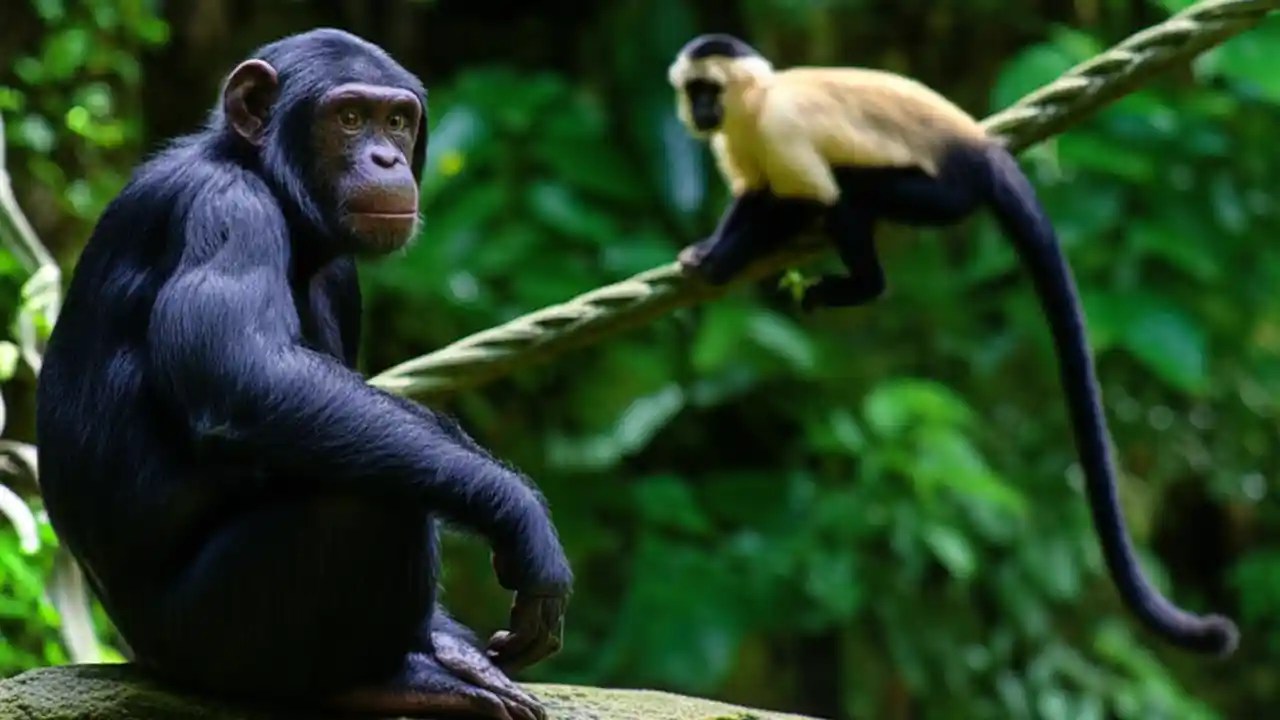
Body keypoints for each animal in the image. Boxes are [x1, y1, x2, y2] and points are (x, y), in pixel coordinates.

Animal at [666, 32, 1239, 658]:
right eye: (694, 91)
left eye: (709, 89)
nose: (701, 111)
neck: (756, 104)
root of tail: (985, 151)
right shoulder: (741, 140)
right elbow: (753, 196)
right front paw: (710, 249)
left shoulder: (779, 128)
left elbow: (807, 198)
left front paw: (724, 259)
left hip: (947, 192)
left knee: (851, 197)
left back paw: (864, 284)